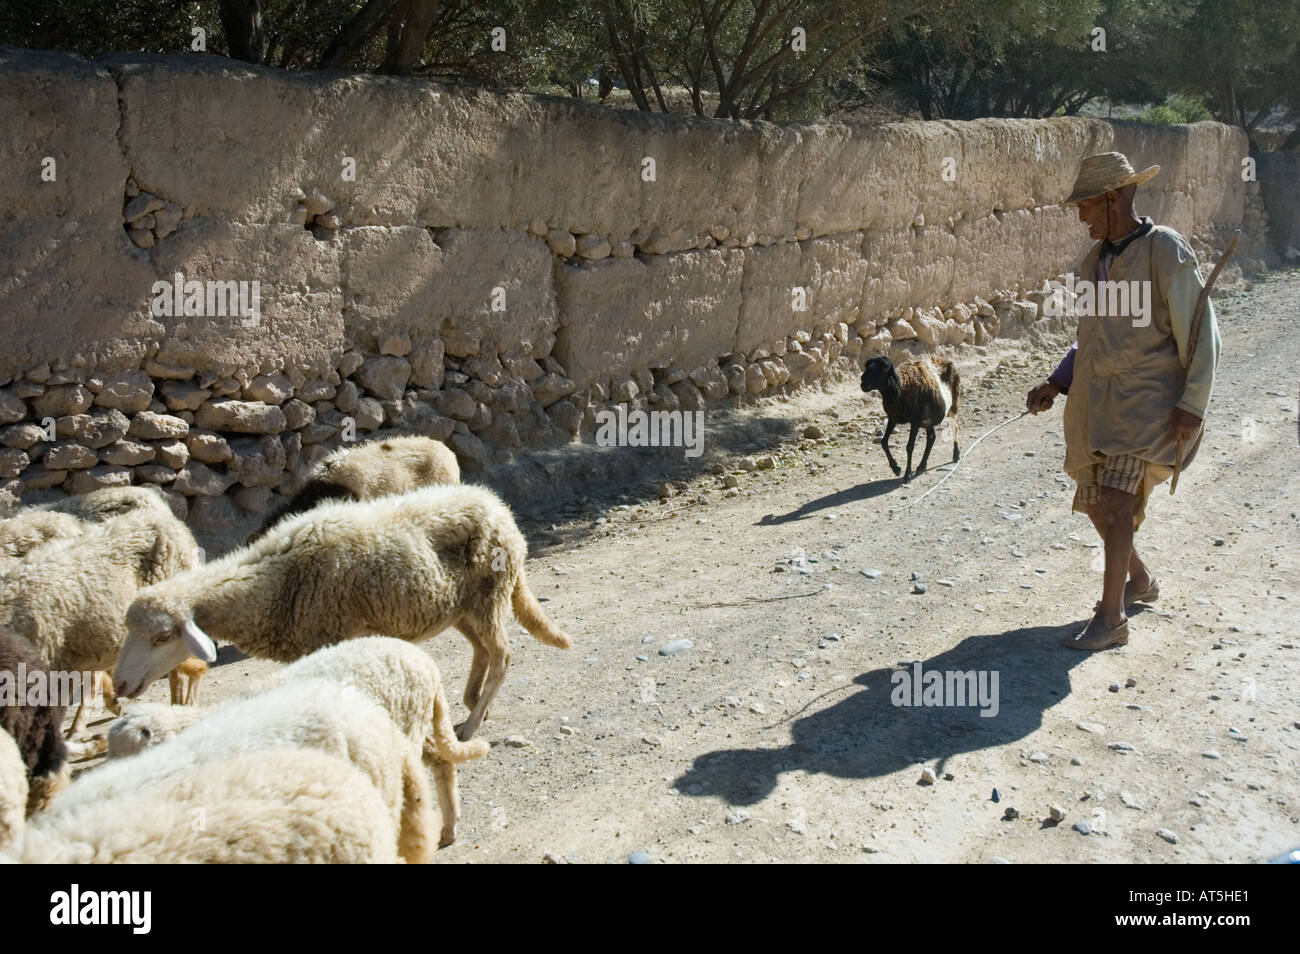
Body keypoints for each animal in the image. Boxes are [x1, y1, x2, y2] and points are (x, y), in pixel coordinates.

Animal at [114, 484, 572, 741]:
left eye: (162, 636)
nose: (119, 684)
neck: (275, 581)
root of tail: (499, 507)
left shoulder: (335, 635)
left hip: (489, 595)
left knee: (501, 654)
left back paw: (473, 723)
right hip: (460, 607)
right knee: (482, 651)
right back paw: (475, 701)